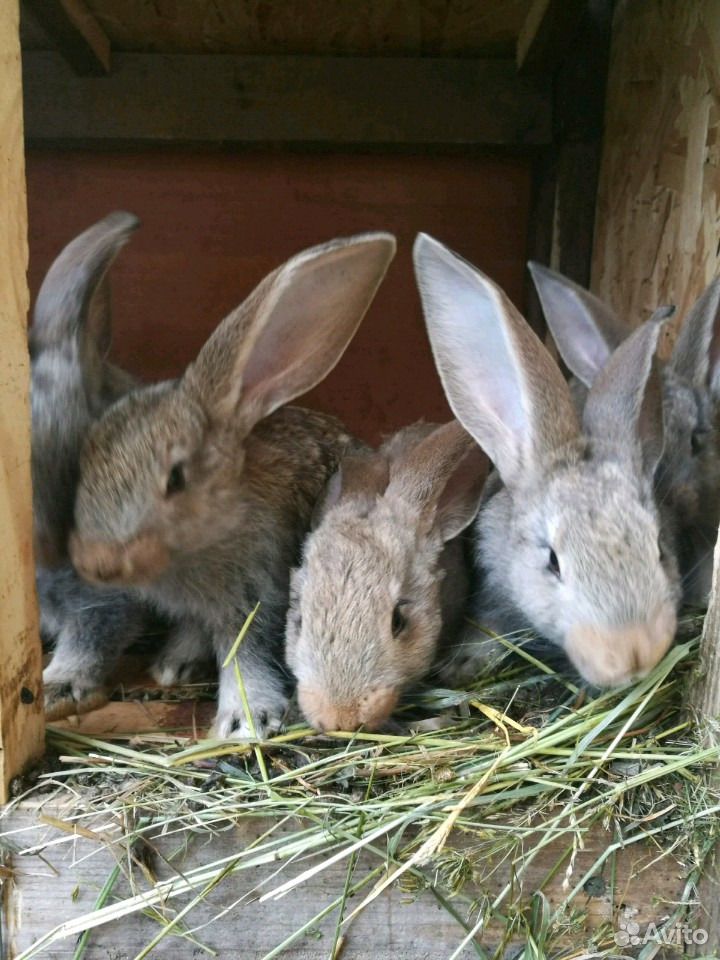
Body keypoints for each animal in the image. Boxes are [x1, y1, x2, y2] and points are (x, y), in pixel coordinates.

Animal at [68, 232, 397, 739]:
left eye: (176, 477)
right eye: (86, 459)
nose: (96, 562)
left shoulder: (257, 592)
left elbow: (245, 654)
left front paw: (246, 719)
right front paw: (174, 666)